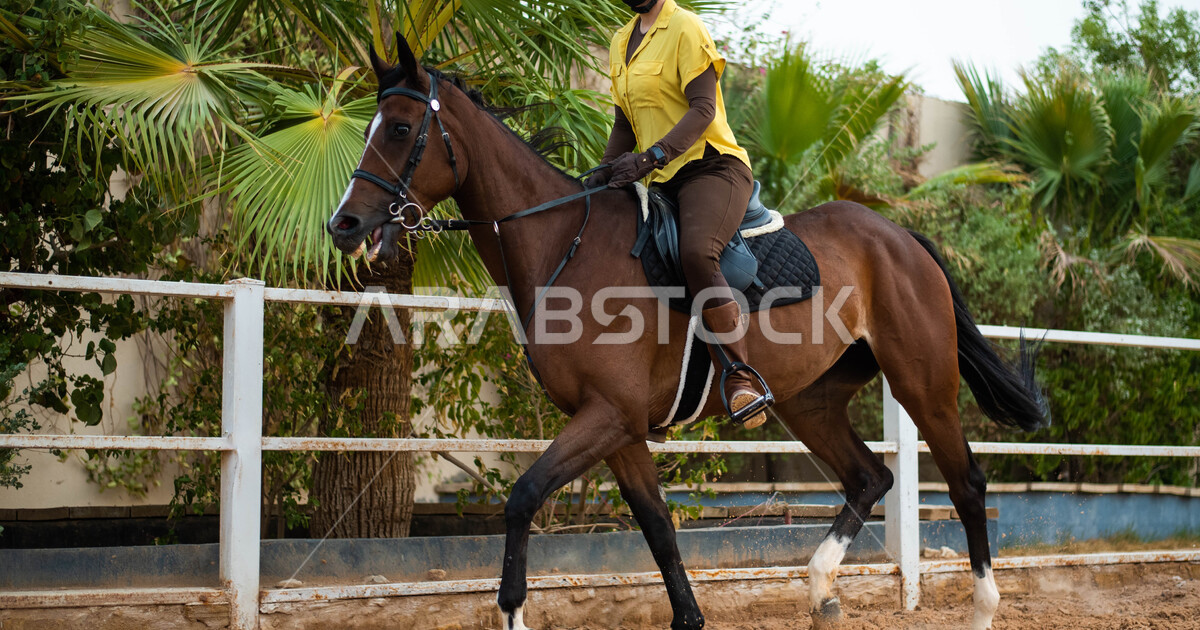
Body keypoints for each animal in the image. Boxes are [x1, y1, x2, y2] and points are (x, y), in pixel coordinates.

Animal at [326, 37, 1048, 630]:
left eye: (399, 128)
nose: (344, 225)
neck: (566, 245)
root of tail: (899, 237)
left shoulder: (607, 415)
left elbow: (523, 497)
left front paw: (513, 613)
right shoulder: (617, 427)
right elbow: (658, 526)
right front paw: (690, 617)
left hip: (923, 385)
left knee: (966, 484)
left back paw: (982, 608)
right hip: (808, 400)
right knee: (870, 478)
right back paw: (820, 590)